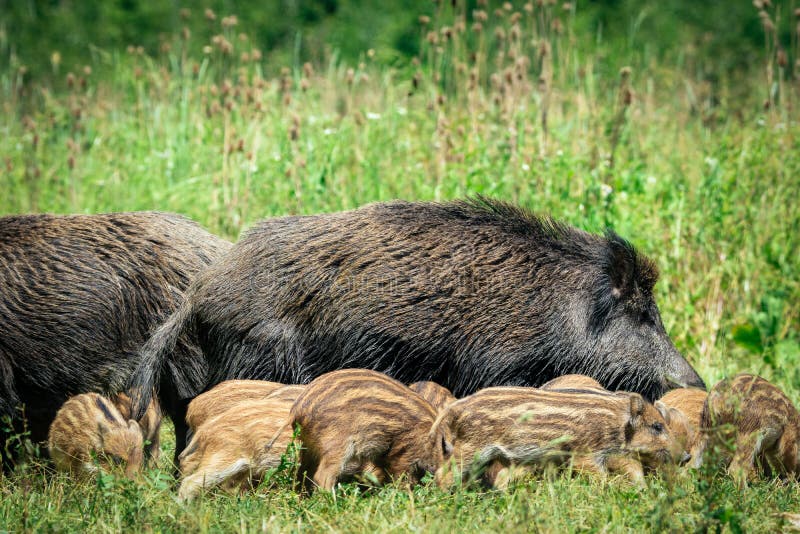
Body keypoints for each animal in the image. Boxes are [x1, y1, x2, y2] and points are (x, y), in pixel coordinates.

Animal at [129, 198, 704, 451]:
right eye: (644, 315)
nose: (697, 383)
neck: (560, 312)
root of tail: (200, 293)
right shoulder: (493, 365)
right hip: (259, 360)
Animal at [286, 369, 452, 492]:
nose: (448, 492)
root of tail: (298, 410)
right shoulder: (403, 453)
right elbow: (403, 479)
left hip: (308, 447)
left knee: (301, 473)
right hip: (336, 445)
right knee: (322, 476)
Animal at [432, 386, 684, 488]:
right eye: (657, 426)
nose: (686, 457)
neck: (615, 422)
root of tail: (455, 409)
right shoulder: (584, 453)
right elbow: (601, 476)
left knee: (501, 477)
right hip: (471, 448)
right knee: (443, 474)